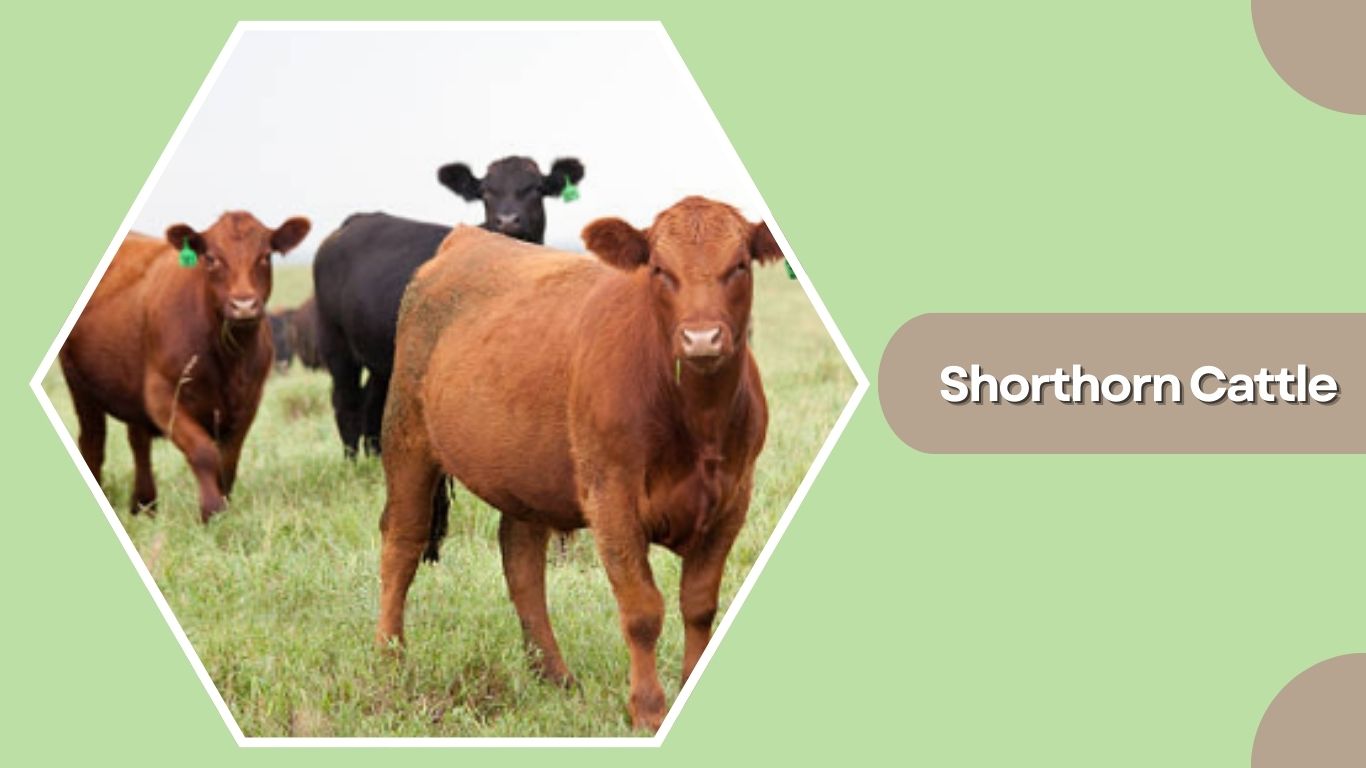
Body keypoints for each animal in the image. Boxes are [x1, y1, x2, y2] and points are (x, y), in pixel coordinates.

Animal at [59, 211, 311, 522]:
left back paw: (144, 504)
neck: (227, 358)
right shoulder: (162, 396)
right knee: (93, 444)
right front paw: (211, 511)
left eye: (265, 256)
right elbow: (204, 452)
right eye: (211, 258)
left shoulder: (249, 400)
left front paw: (222, 505)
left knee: (138, 442)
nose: (243, 305)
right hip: (80, 386)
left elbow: (228, 462)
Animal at [313, 155, 584, 458]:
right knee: (346, 403)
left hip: (382, 357)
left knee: (372, 404)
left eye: (536, 188)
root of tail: (355, 221)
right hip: (336, 344)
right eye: (485, 192)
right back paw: (353, 461)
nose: (507, 220)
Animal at [375, 196, 782, 732]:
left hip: (525, 473)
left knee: (522, 562)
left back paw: (553, 674)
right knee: (402, 542)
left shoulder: (732, 499)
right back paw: (390, 656)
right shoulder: (611, 498)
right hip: (406, 439)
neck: (698, 419)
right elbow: (642, 610)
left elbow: (698, 605)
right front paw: (648, 709)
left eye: (738, 266)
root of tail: (464, 238)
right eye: (659, 269)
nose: (701, 339)